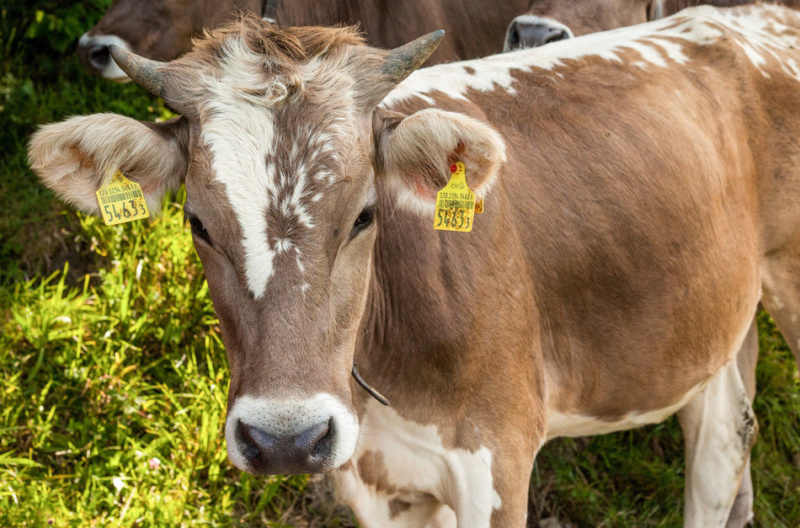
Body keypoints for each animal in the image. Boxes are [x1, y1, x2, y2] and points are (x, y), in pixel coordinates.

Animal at [28, 4, 800, 527]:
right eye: (198, 224)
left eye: (365, 214)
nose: (286, 439)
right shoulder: (376, 479)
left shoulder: (496, 462)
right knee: (723, 441)